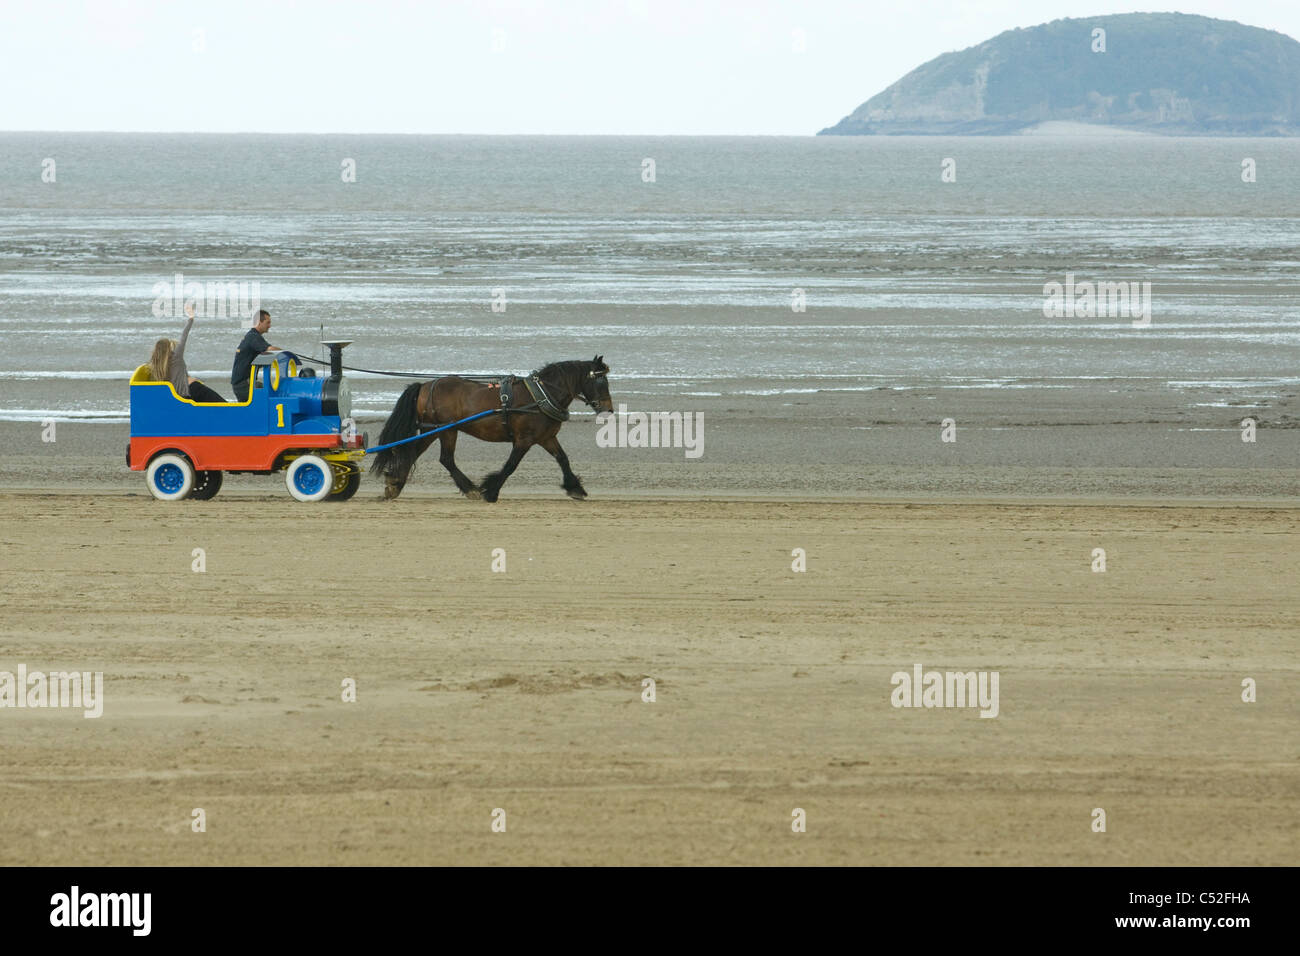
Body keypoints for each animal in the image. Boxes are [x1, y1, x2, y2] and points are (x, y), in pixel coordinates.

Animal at [368, 356, 613, 502]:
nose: (608, 409)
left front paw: (575, 488)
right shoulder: (524, 440)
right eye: (600, 382)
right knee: (445, 459)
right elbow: (510, 466)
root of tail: (427, 385)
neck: (541, 396)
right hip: (446, 430)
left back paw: (395, 484)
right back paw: (471, 489)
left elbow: (563, 459)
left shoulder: (546, 437)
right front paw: (490, 491)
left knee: (414, 452)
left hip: (434, 430)